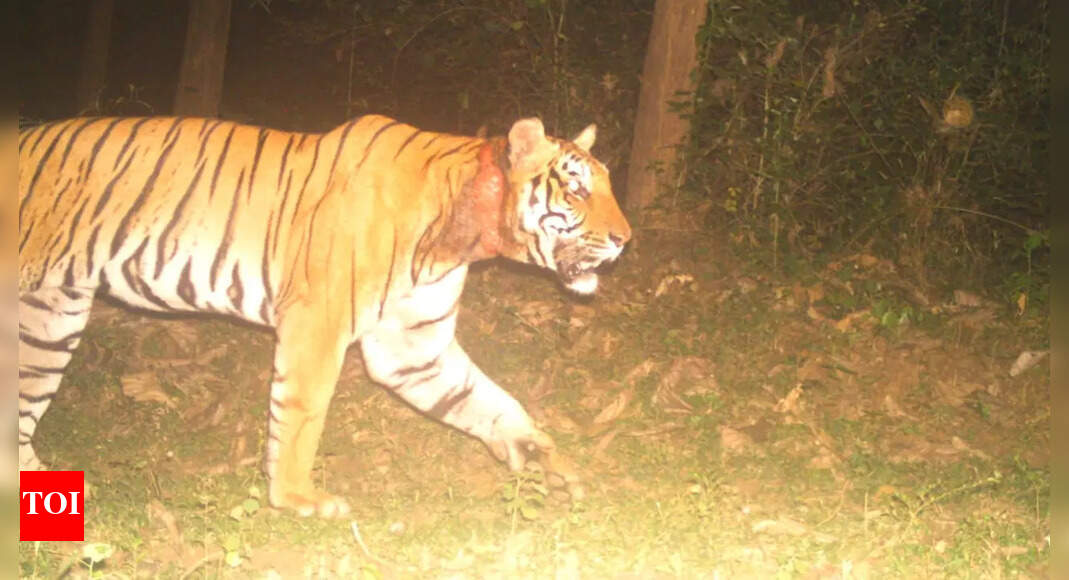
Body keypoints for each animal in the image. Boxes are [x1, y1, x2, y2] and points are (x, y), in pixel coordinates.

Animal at [17, 114, 631, 517]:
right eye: (576, 189)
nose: (626, 239)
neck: (461, 237)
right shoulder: (317, 322)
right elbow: (301, 413)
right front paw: (297, 499)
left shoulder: (414, 346)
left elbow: (484, 398)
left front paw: (542, 457)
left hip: (49, 316)